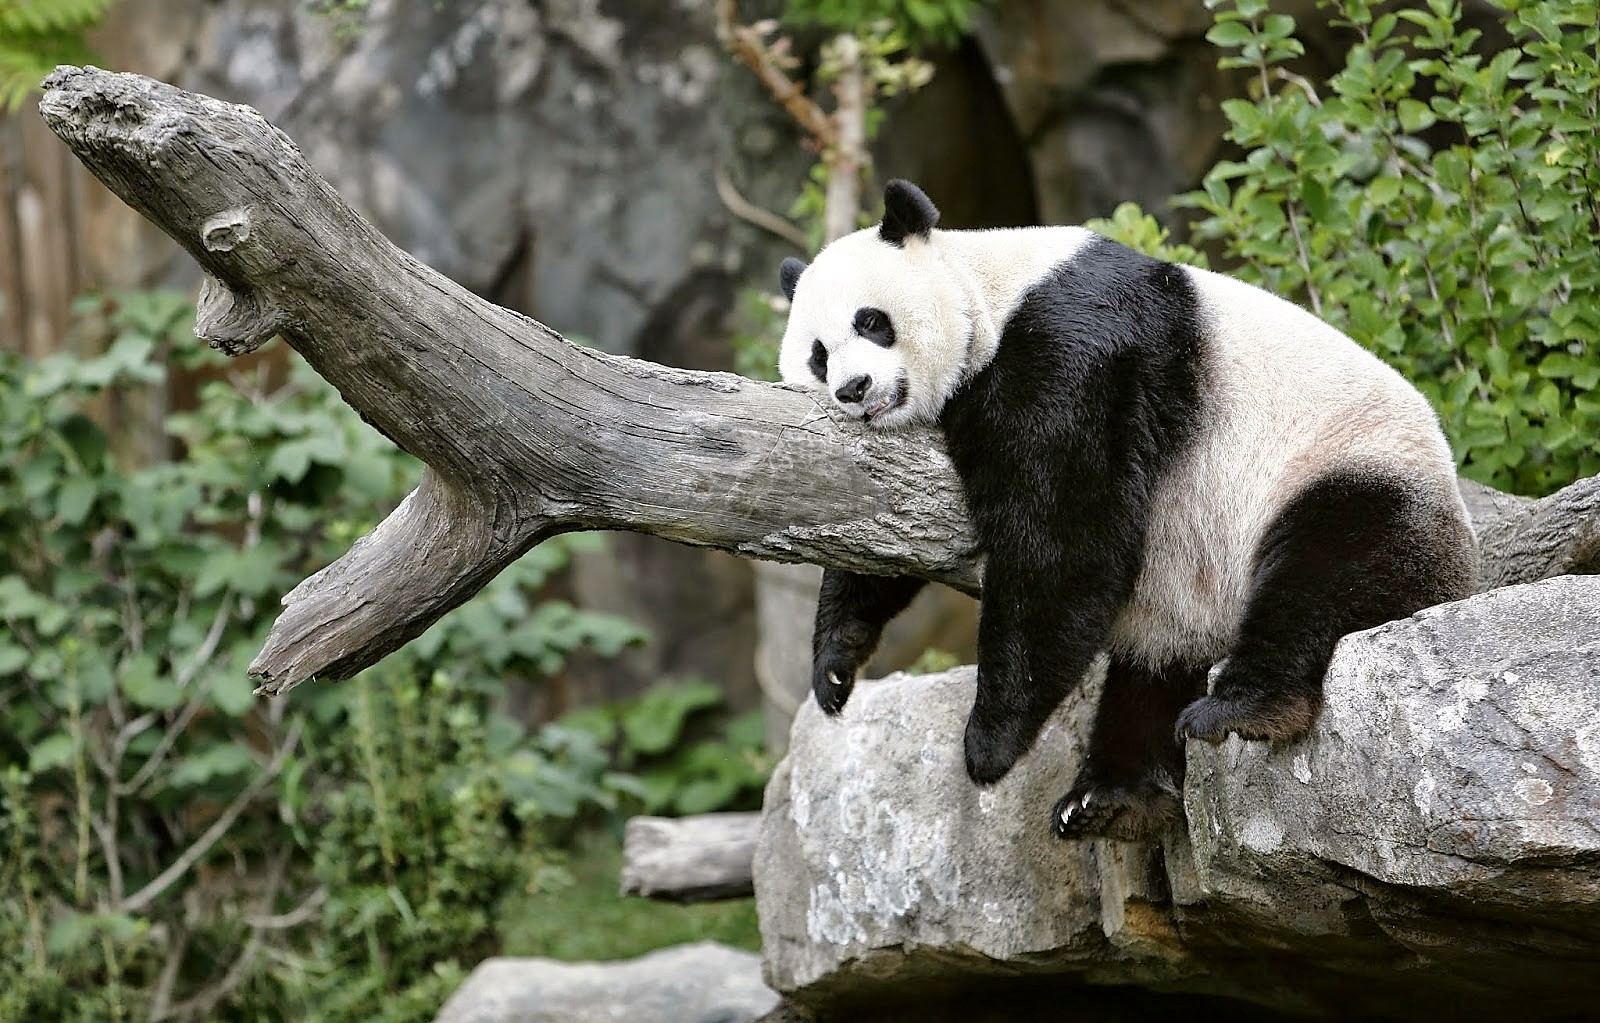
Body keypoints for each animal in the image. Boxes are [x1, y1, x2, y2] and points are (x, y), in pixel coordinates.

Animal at [777, 179, 1478, 841]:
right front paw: (836, 666)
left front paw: (989, 743)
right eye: (818, 354)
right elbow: (885, 527)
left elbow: (1064, 536)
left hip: (1352, 472)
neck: (991, 288)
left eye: (871, 321)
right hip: (1188, 597)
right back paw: (1112, 796)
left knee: (1327, 571)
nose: (853, 389)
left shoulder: (1072, 345)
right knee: (1153, 673)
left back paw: (1243, 708)